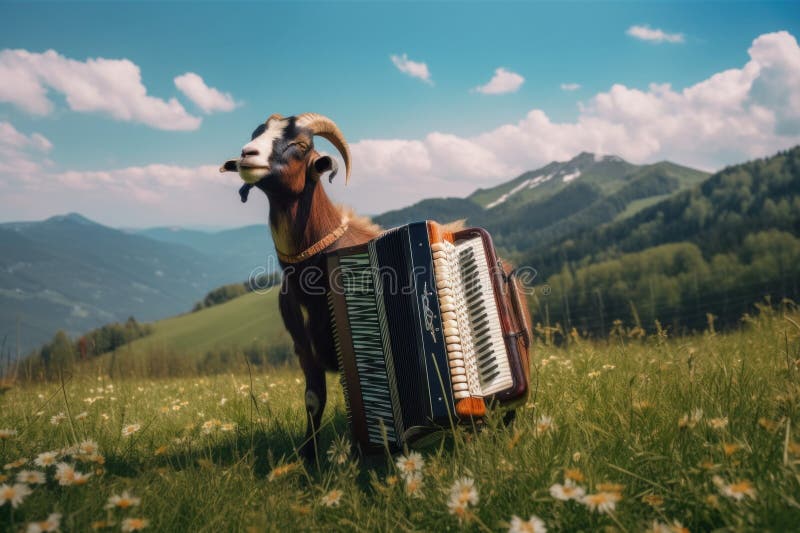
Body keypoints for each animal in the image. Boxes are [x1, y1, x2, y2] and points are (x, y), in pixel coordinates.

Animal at [220, 113, 380, 461]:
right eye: (253, 136)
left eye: (301, 144)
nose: (247, 155)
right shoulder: (303, 347)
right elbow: (313, 399)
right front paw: (308, 457)